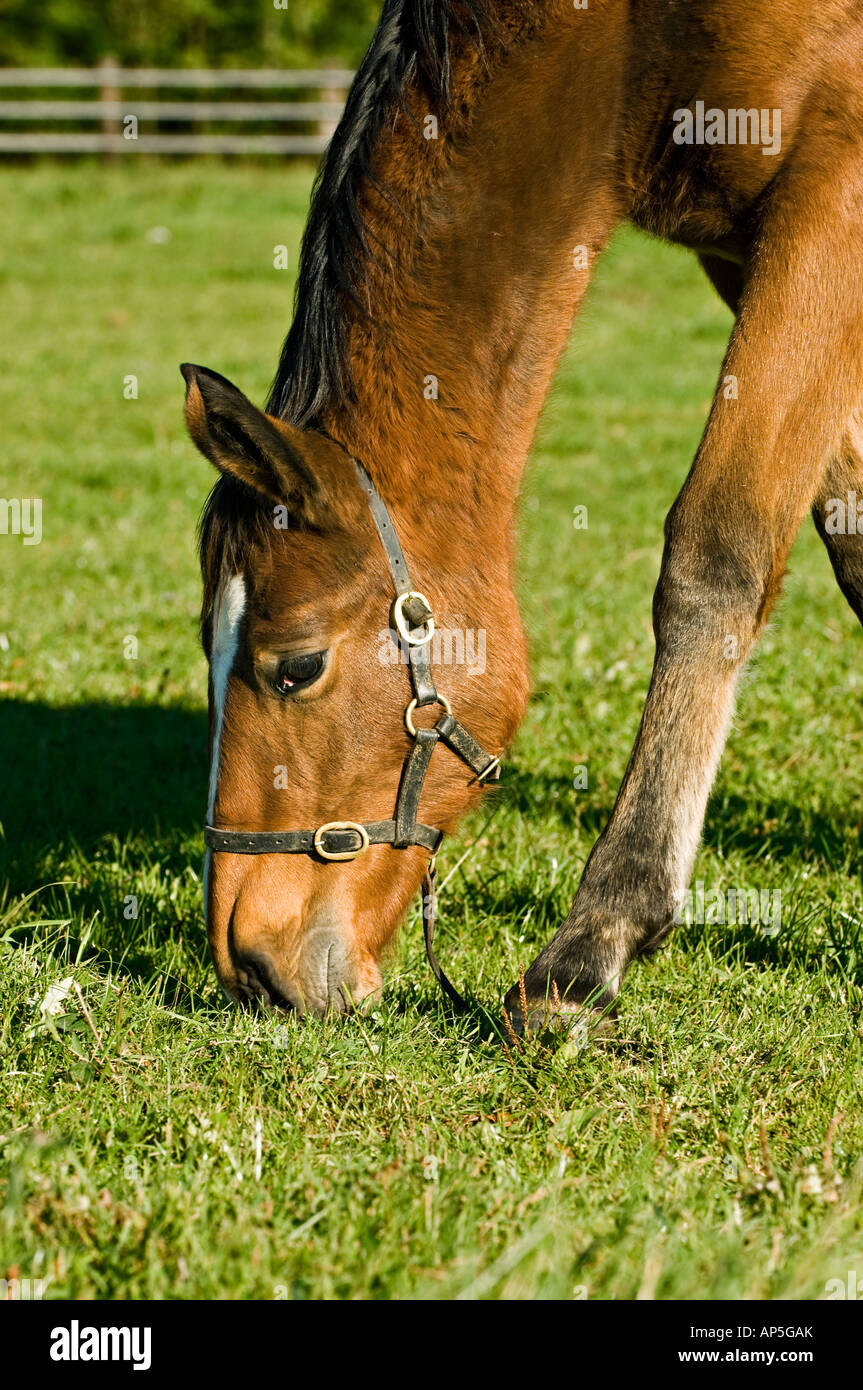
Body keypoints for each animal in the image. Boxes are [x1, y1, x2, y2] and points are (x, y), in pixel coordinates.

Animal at [183, 0, 863, 1023]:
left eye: (295, 667)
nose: (249, 965)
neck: (625, 41)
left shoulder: (830, 194)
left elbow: (714, 555)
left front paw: (592, 943)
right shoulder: (747, 248)